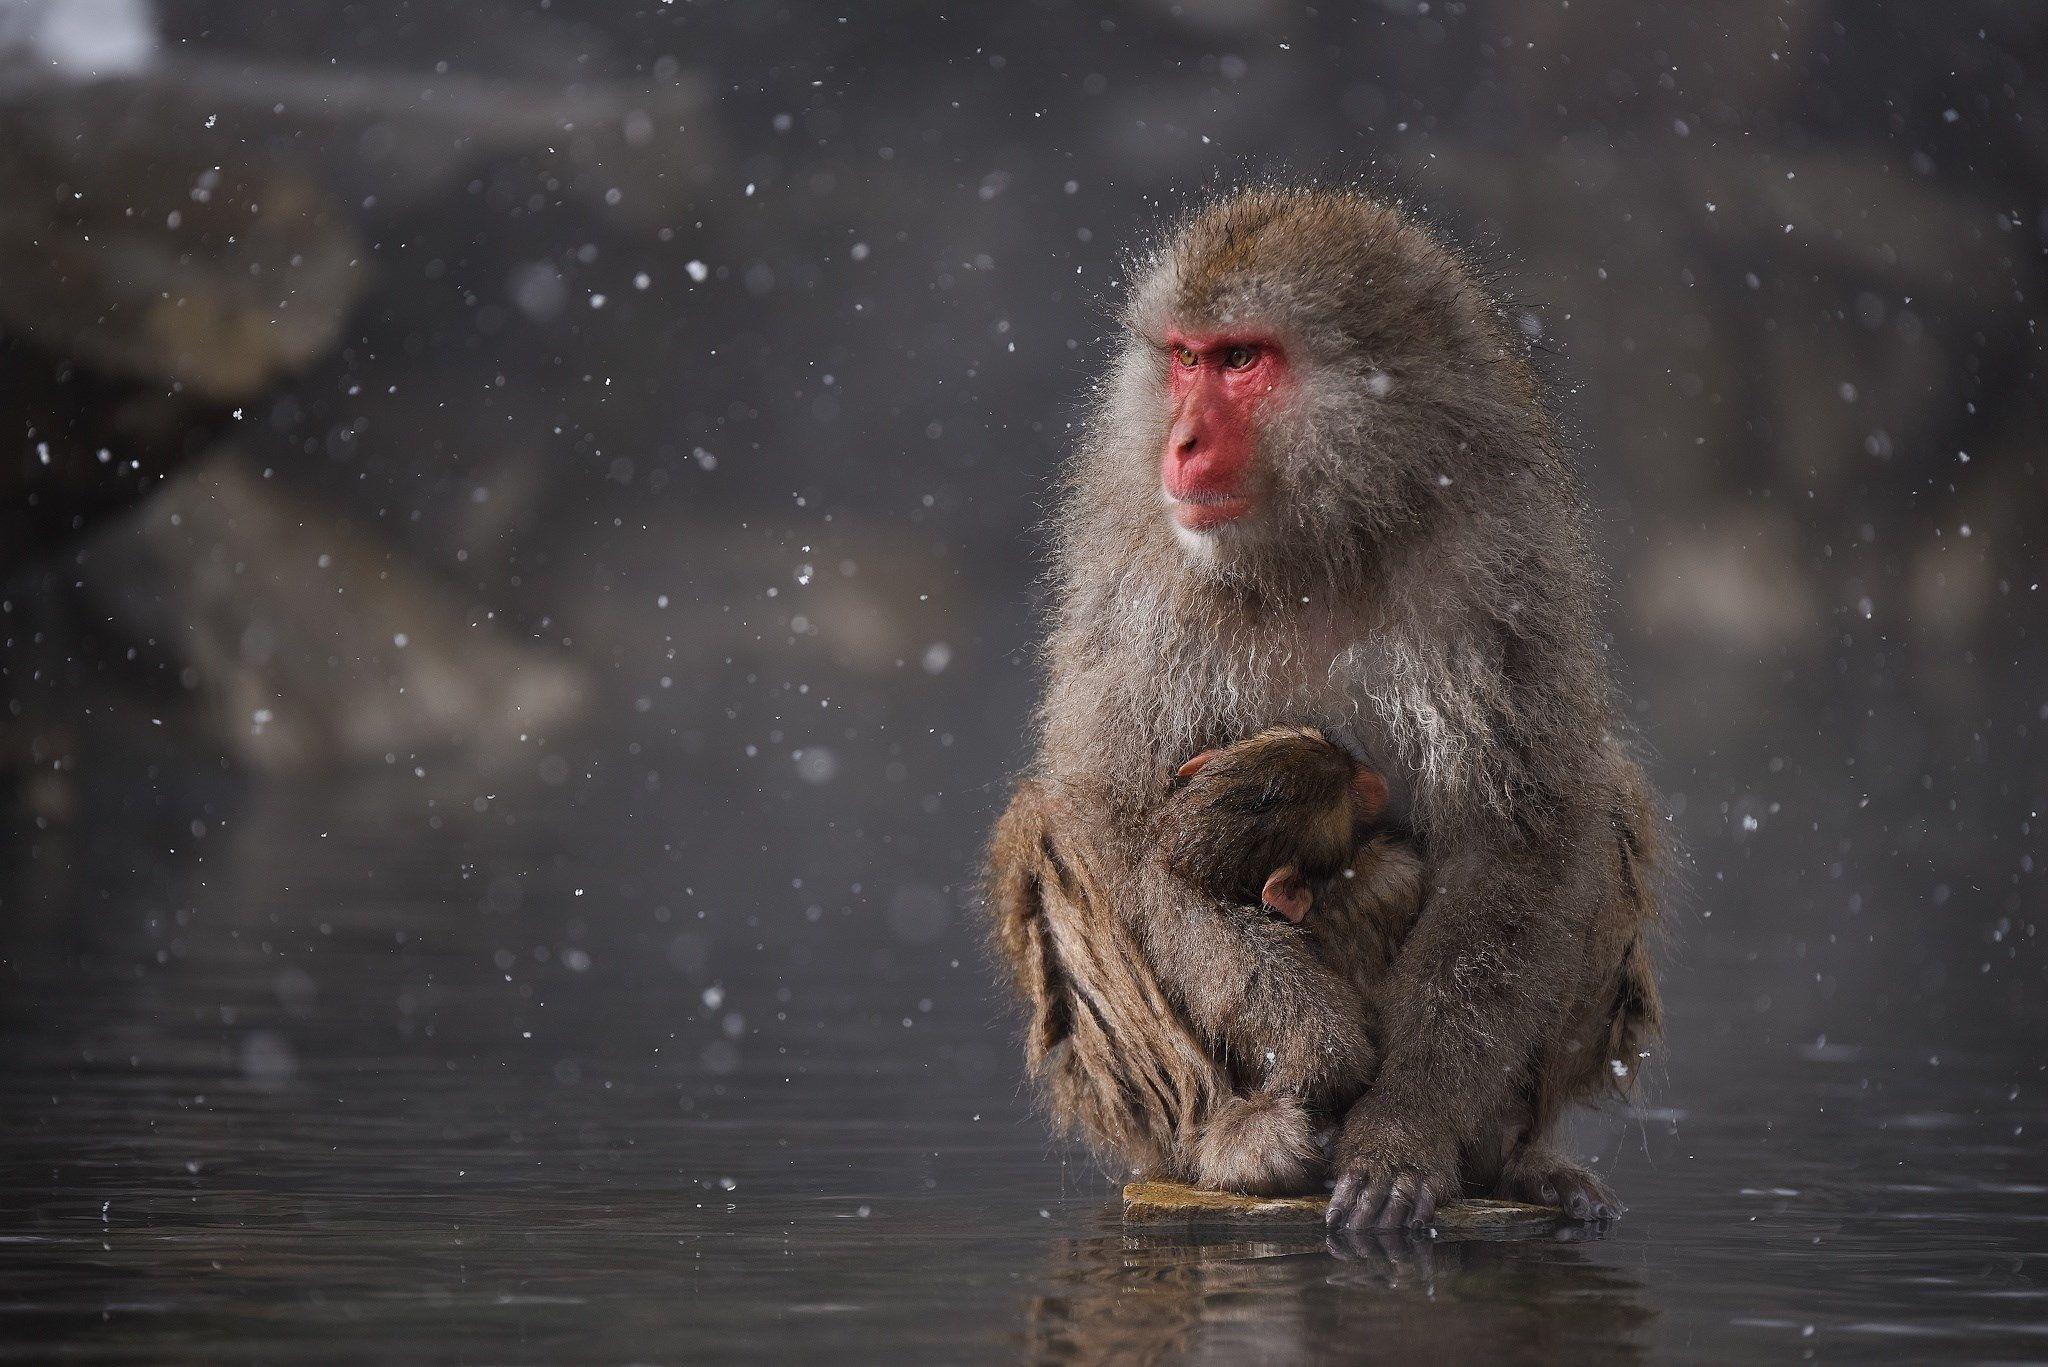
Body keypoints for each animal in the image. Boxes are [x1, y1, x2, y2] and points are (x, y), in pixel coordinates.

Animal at [986, 186, 1661, 1230]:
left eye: (1242, 360)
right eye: (1185, 358)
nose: (1181, 440)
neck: (1320, 534)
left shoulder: (1503, 554)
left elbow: (1523, 830)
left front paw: (1405, 1130)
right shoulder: (1138, 559)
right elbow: (1114, 813)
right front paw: (1314, 1041)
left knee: (1607, 802)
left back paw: (1512, 1160)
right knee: (1051, 826)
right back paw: (1234, 1142)